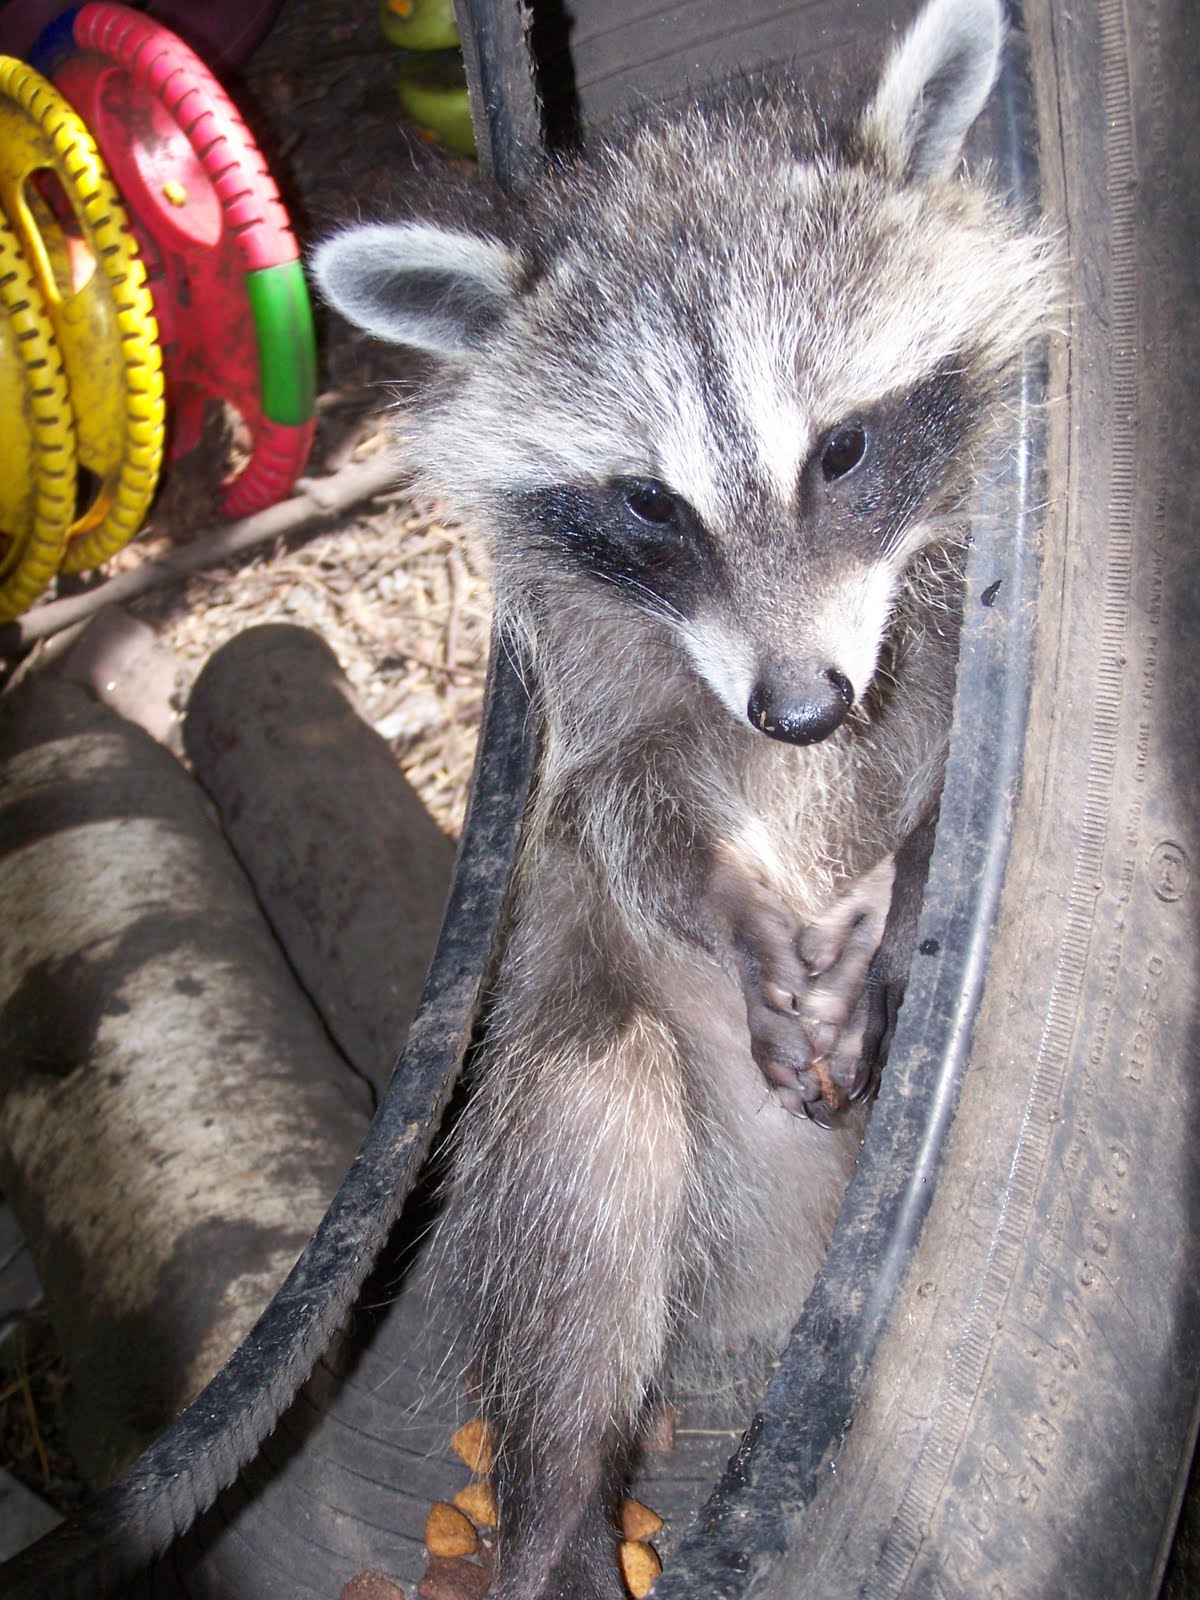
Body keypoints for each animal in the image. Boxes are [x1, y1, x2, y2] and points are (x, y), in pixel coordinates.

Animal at [314, 0, 1052, 1594]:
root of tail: (773, 1297)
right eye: (652, 502)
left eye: (842, 447)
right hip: (599, 1098)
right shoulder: (601, 683)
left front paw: (909, 893)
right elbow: (621, 812)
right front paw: (728, 897)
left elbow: (948, 775)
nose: (802, 712)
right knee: (591, 1150)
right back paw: (562, 1500)